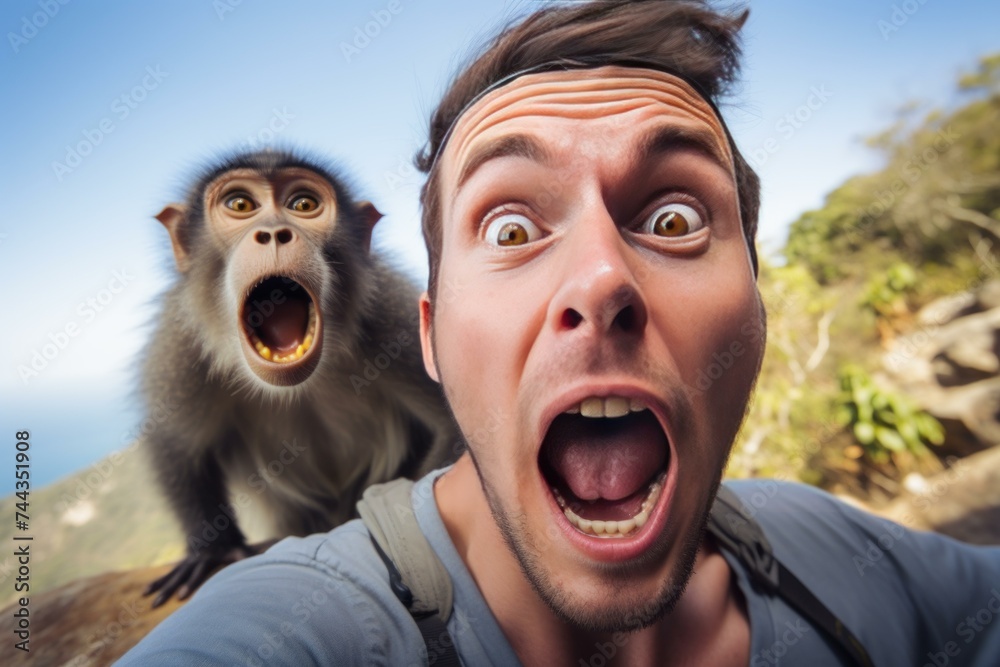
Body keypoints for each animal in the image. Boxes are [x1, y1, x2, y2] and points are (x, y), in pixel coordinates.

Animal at [140, 148, 458, 607]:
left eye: (303, 204)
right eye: (240, 205)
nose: (275, 232)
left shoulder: (387, 314)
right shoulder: (181, 340)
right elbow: (175, 444)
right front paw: (213, 551)